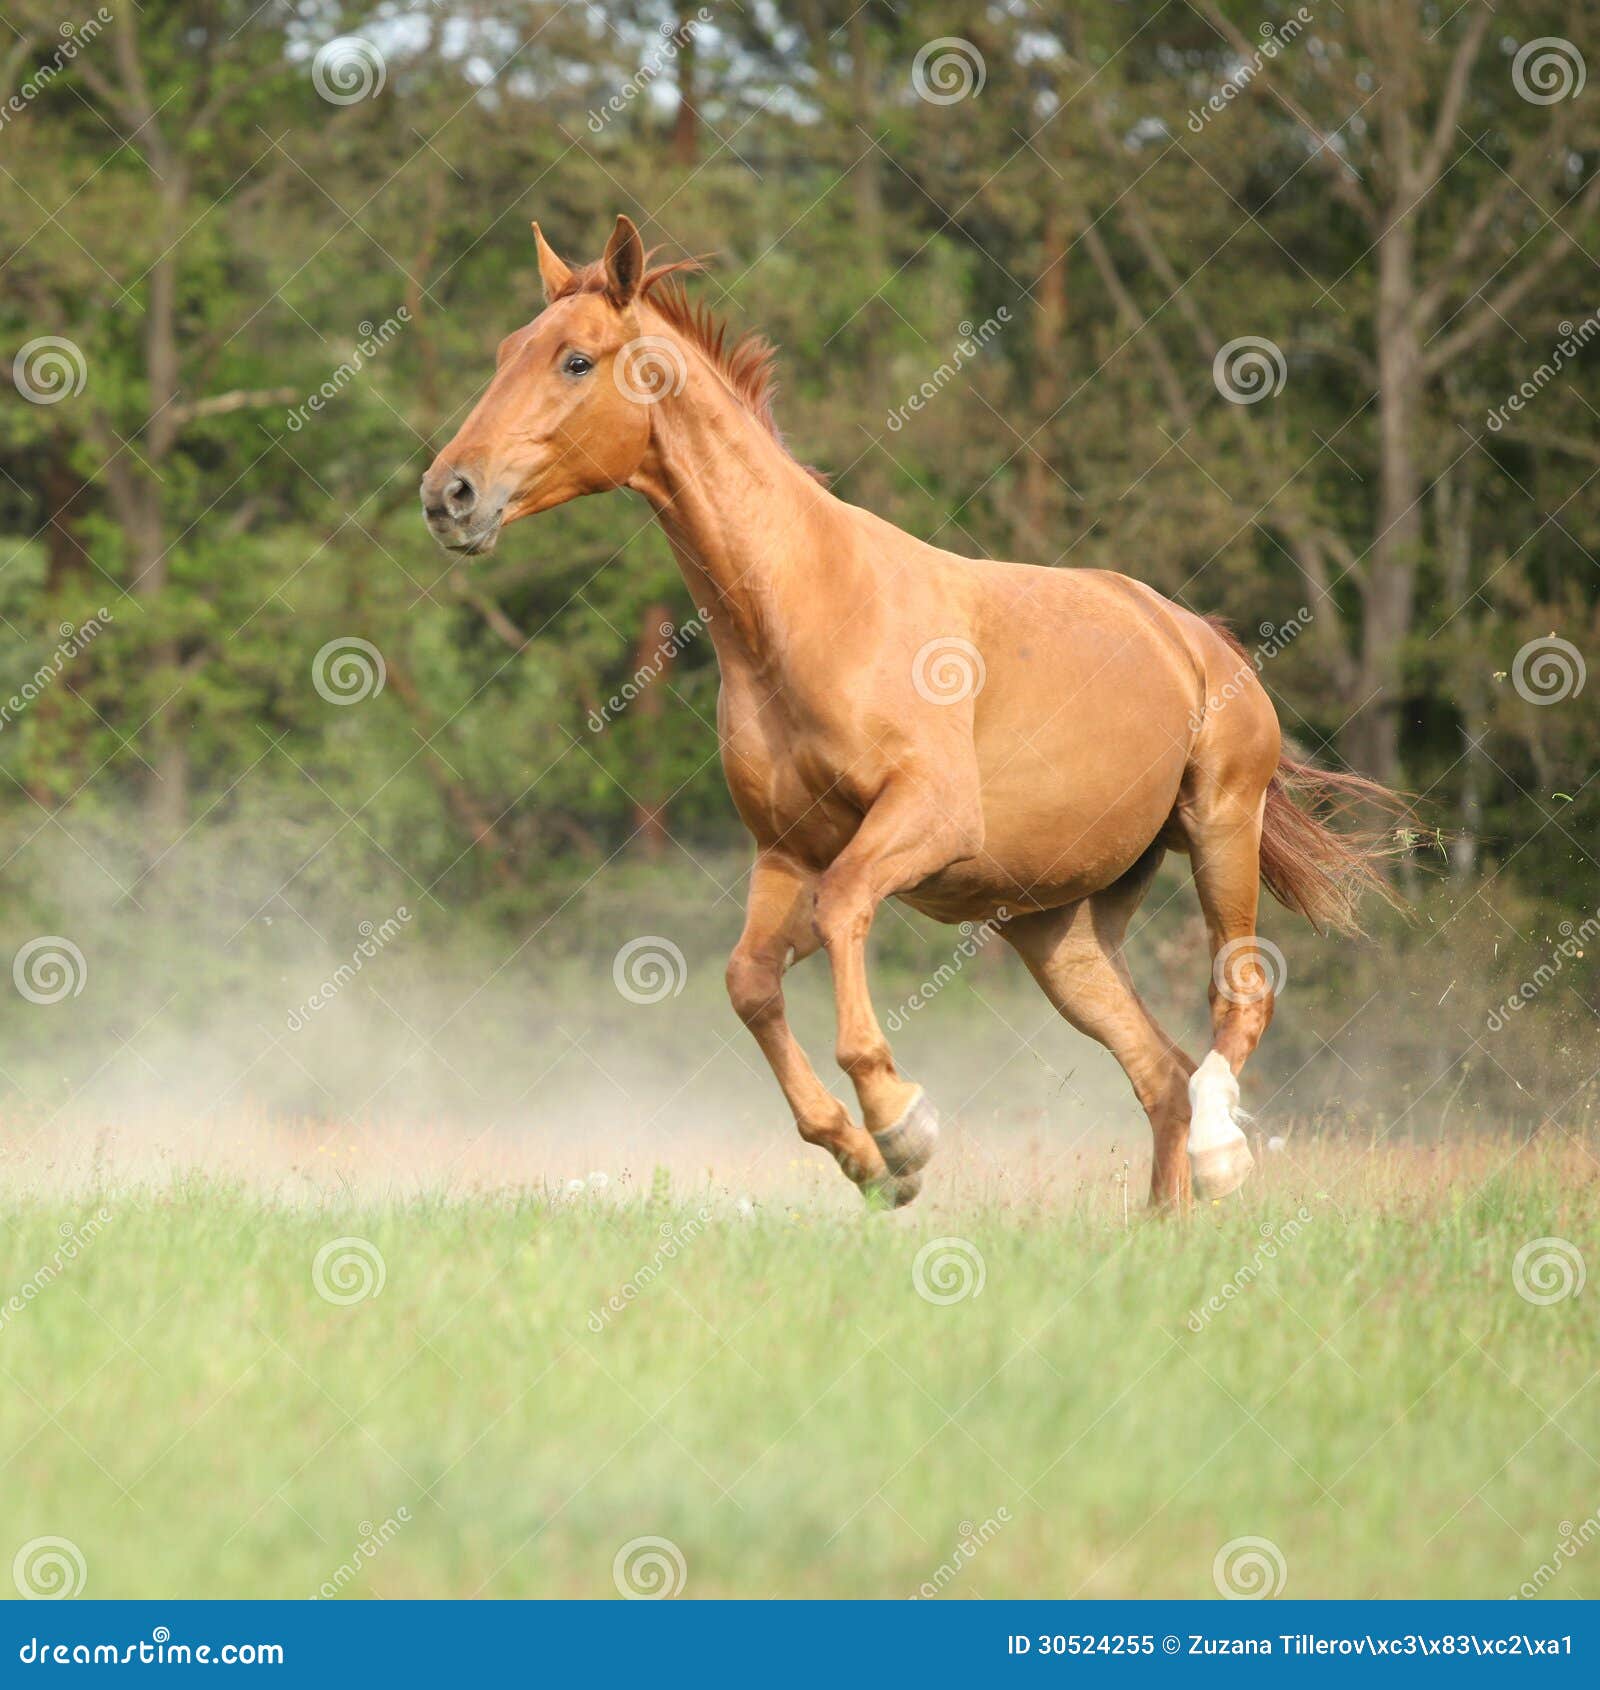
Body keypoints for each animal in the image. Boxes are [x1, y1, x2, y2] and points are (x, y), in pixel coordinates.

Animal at [421, 215, 1399, 1212]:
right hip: (1060, 934)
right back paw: (1167, 1219)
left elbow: (846, 908)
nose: (448, 495)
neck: (810, 609)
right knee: (1156, 1071)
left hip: (1218, 827)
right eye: (505, 353)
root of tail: (1197, 638)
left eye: (576, 360)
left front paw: (900, 1121)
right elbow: (749, 980)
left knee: (1238, 1000)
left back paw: (1220, 1151)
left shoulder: (926, 819)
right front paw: (862, 1157)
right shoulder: (788, 852)